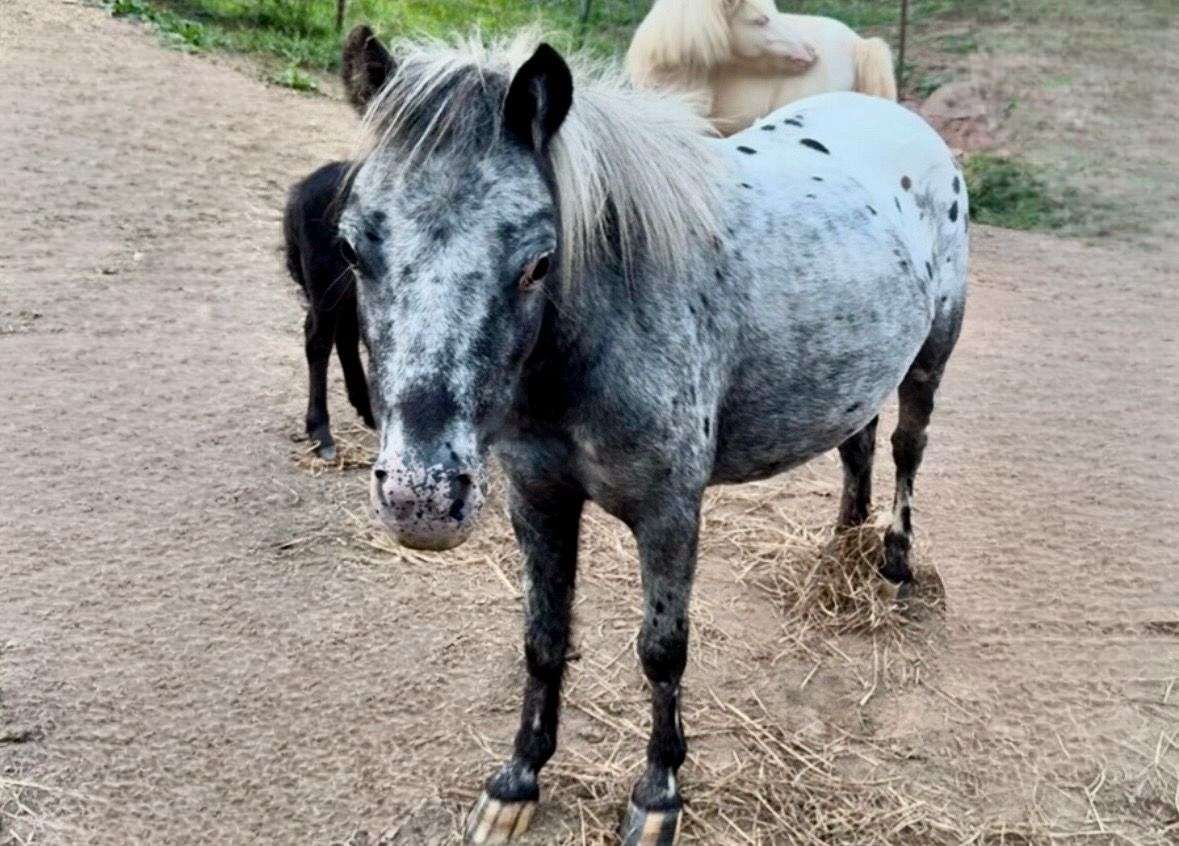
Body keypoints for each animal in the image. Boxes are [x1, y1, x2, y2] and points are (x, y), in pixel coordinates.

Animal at [339, 24, 967, 845]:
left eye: (538, 261)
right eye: (351, 249)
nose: (420, 498)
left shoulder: (670, 513)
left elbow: (662, 651)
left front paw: (657, 796)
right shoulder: (537, 499)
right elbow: (543, 637)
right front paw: (517, 781)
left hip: (931, 357)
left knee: (904, 449)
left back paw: (892, 564)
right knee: (857, 446)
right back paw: (840, 554)